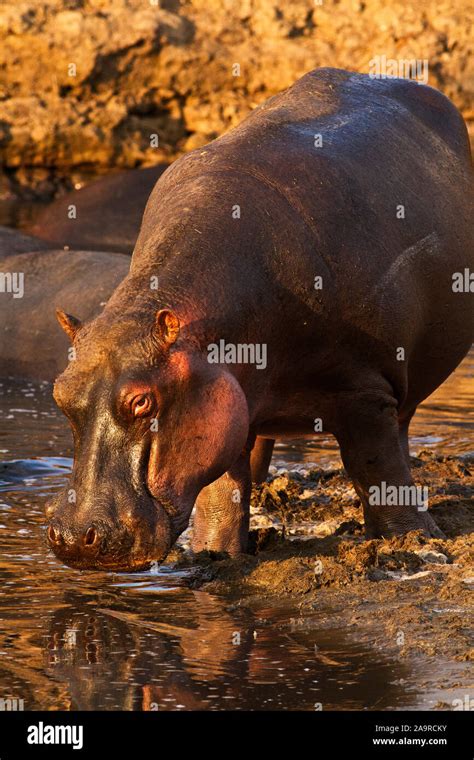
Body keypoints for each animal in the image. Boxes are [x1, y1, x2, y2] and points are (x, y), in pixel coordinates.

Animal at [47, 68, 473, 571]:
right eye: (60, 394)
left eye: (142, 401)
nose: (73, 537)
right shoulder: (220, 400)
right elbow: (221, 494)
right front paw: (215, 555)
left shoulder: (365, 392)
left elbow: (377, 470)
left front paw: (413, 539)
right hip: (249, 408)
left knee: (398, 438)